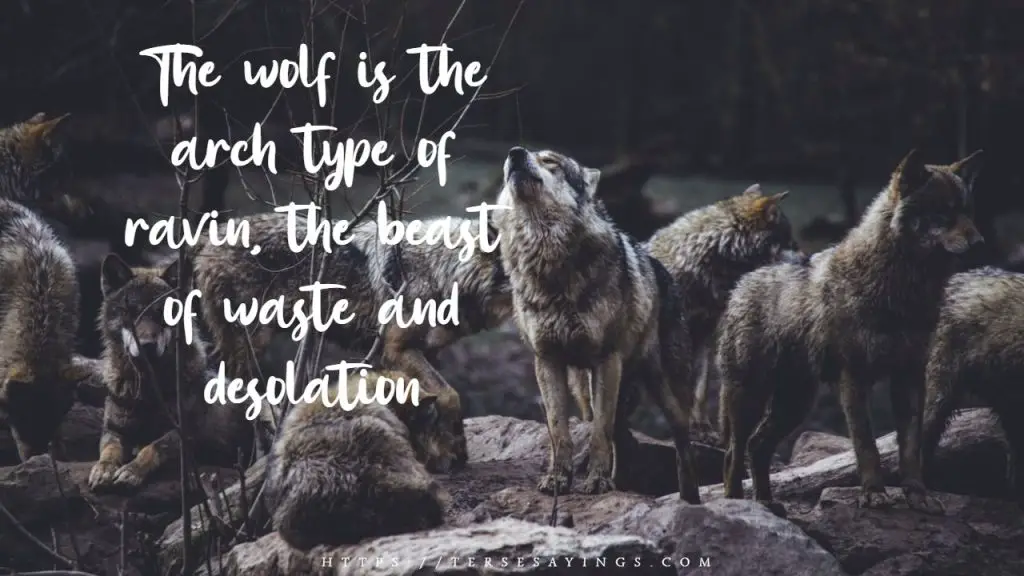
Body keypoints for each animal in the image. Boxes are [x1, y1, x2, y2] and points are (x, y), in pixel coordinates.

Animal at [87, 254, 256, 490]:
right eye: (131, 312)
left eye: (164, 313)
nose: (147, 345)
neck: (148, 390)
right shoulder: (114, 430)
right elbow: (109, 451)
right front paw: (103, 470)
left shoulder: (184, 433)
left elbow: (153, 447)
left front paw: (131, 471)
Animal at [192, 210, 509, 472]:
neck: (442, 270)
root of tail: (211, 234)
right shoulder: (397, 348)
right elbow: (450, 395)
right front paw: (452, 452)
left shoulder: (427, 352)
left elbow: (434, 402)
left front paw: (446, 451)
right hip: (249, 344)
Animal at [495, 146, 699, 503]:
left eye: (551, 161)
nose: (515, 153)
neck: (548, 264)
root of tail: (661, 268)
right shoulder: (547, 361)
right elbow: (559, 431)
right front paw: (558, 480)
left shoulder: (606, 359)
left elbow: (598, 433)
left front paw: (597, 482)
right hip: (586, 390)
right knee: (623, 437)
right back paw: (621, 481)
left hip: (665, 392)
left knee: (681, 444)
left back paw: (689, 499)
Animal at [717, 149, 983, 512]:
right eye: (944, 212)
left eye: (967, 211)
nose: (979, 242)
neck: (902, 288)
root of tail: (742, 283)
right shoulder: (854, 377)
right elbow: (866, 445)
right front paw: (874, 494)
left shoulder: (910, 378)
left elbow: (910, 448)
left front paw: (918, 495)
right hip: (750, 397)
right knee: (734, 452)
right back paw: (738, 505)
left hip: (795, 404)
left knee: (758, 445)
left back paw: (767, 504)